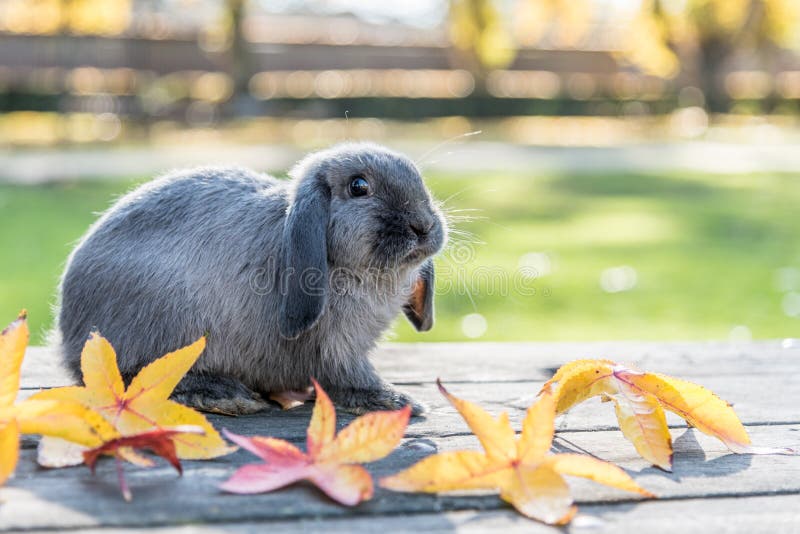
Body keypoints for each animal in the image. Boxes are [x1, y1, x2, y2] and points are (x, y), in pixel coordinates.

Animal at [55, 142, 446, 416]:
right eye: (359, 186)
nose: (424, 226)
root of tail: (68, 337)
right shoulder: (338, 345)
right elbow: (352, 376)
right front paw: (398, 401)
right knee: (139, 376)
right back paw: (226, 395)